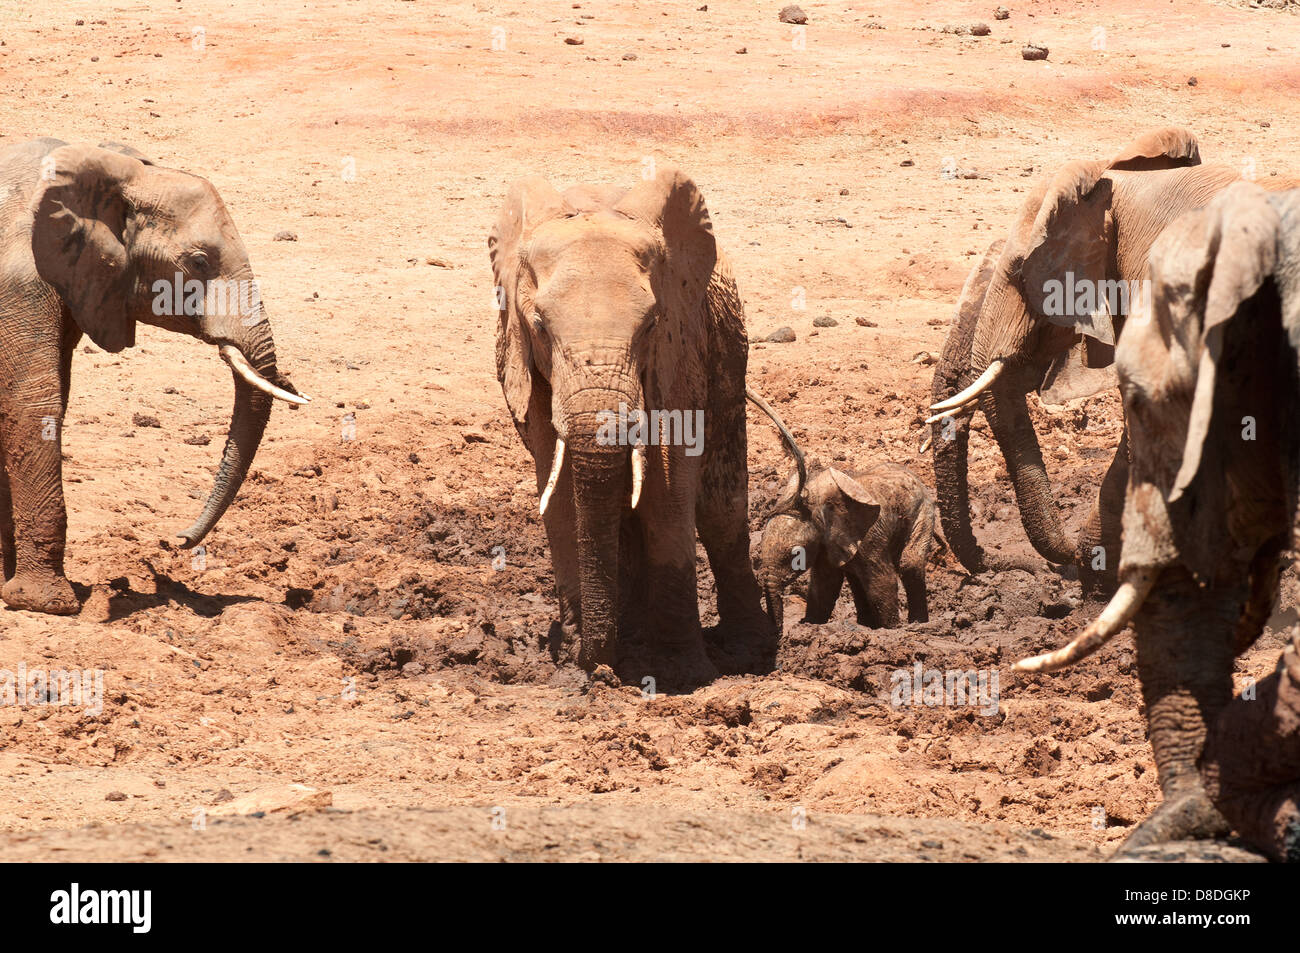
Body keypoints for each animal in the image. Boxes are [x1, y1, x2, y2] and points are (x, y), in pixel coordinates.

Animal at [0, 138, 308, 615]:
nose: (177, 540)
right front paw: (45, 604)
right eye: (199, 262)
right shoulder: (21, 284)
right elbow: (34, 403)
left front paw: (10, 589)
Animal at [490, 166, 776, 686]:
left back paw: (747, 646)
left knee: (720, 504)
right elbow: (558, 491)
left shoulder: (681, 344)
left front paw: (681, 670)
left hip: (729, 348)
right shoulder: (527, 366)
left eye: (651, 326)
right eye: (539, 326)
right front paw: (579, 661)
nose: (600, 668)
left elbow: (670, 480)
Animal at [756, 458, 941, 633]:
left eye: (795, 555)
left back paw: (918, 624)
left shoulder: (869, 535)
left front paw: (892, 629)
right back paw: (867, 625)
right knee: (856, 579)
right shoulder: (826, 542)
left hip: (923, 512)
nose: (778, 631)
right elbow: (824, 586)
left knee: (909, 564)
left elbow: (882, 581)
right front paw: (810, 624)